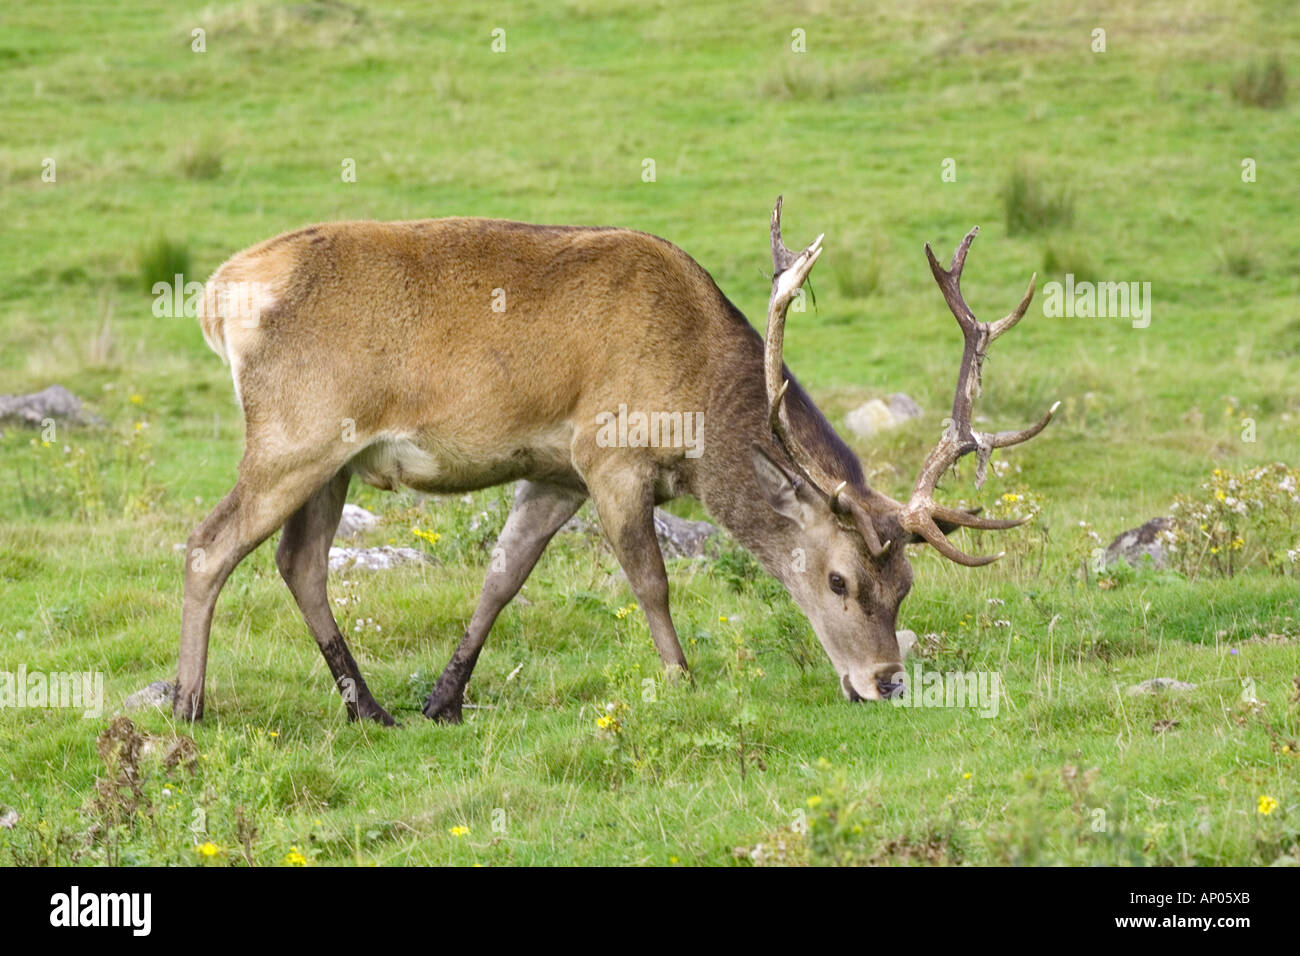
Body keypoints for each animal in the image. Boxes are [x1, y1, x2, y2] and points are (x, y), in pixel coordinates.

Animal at [176, 197, 1057, 724]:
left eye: (905, 584)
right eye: (839, 580)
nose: (885, 681)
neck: (693, 393)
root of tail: (217, 296)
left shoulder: (555, 470)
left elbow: (502, 576)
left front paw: (443, 700)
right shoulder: (610, 455)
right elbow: (650, 581)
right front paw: (682, 680)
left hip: (333, 461)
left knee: (300, 564)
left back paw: (369, 708)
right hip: (295, 433)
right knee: (209, 545)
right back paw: (189, 704)